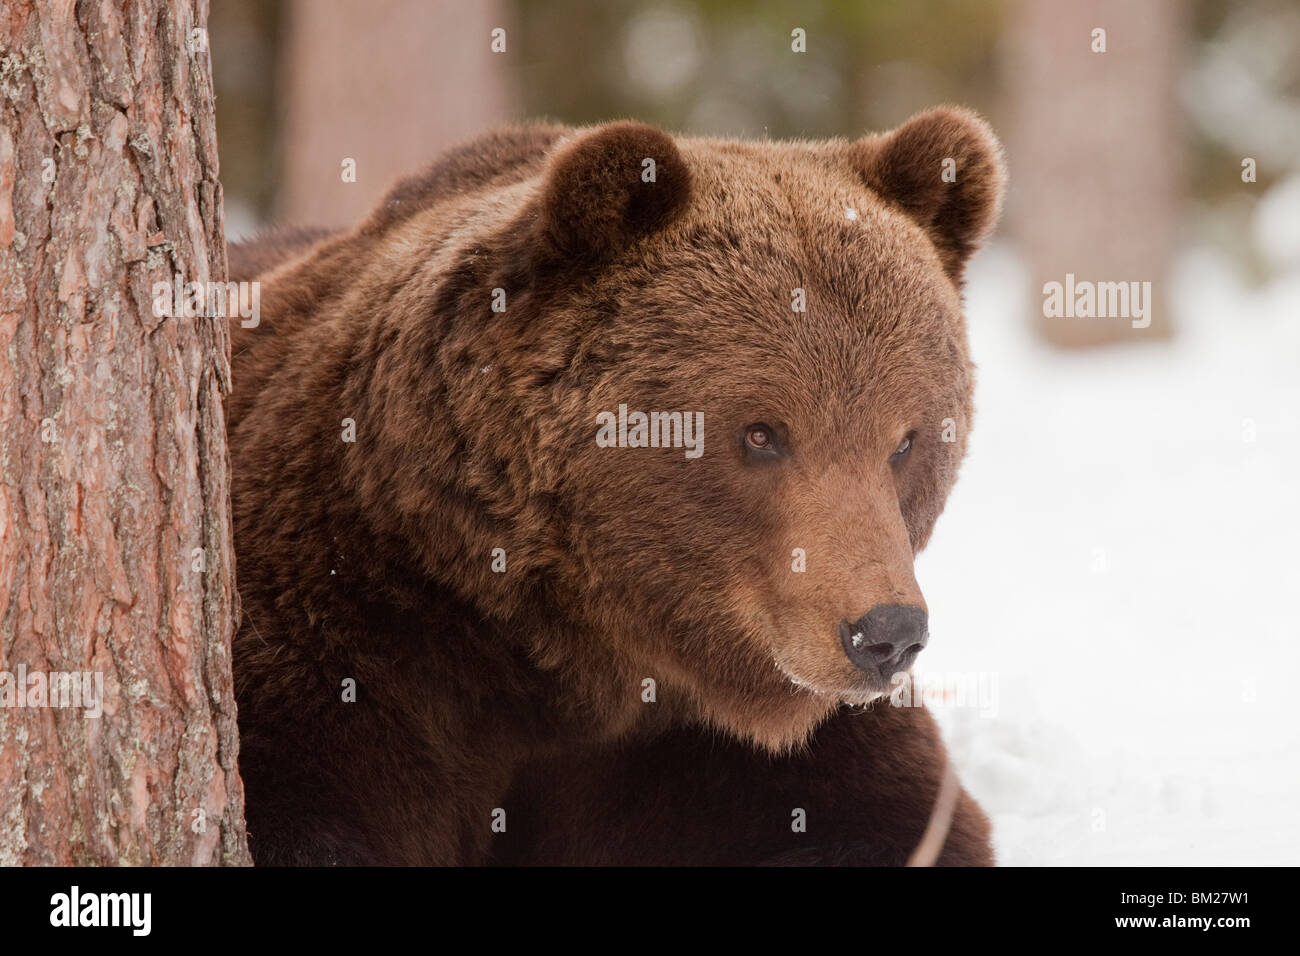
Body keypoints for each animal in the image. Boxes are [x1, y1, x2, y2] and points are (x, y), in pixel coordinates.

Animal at [226, 106, 1005, 866]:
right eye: (761, 434)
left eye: (904, 440)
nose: (887, 634)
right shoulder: (346, 641)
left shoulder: (710, 742)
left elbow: (892, 819)